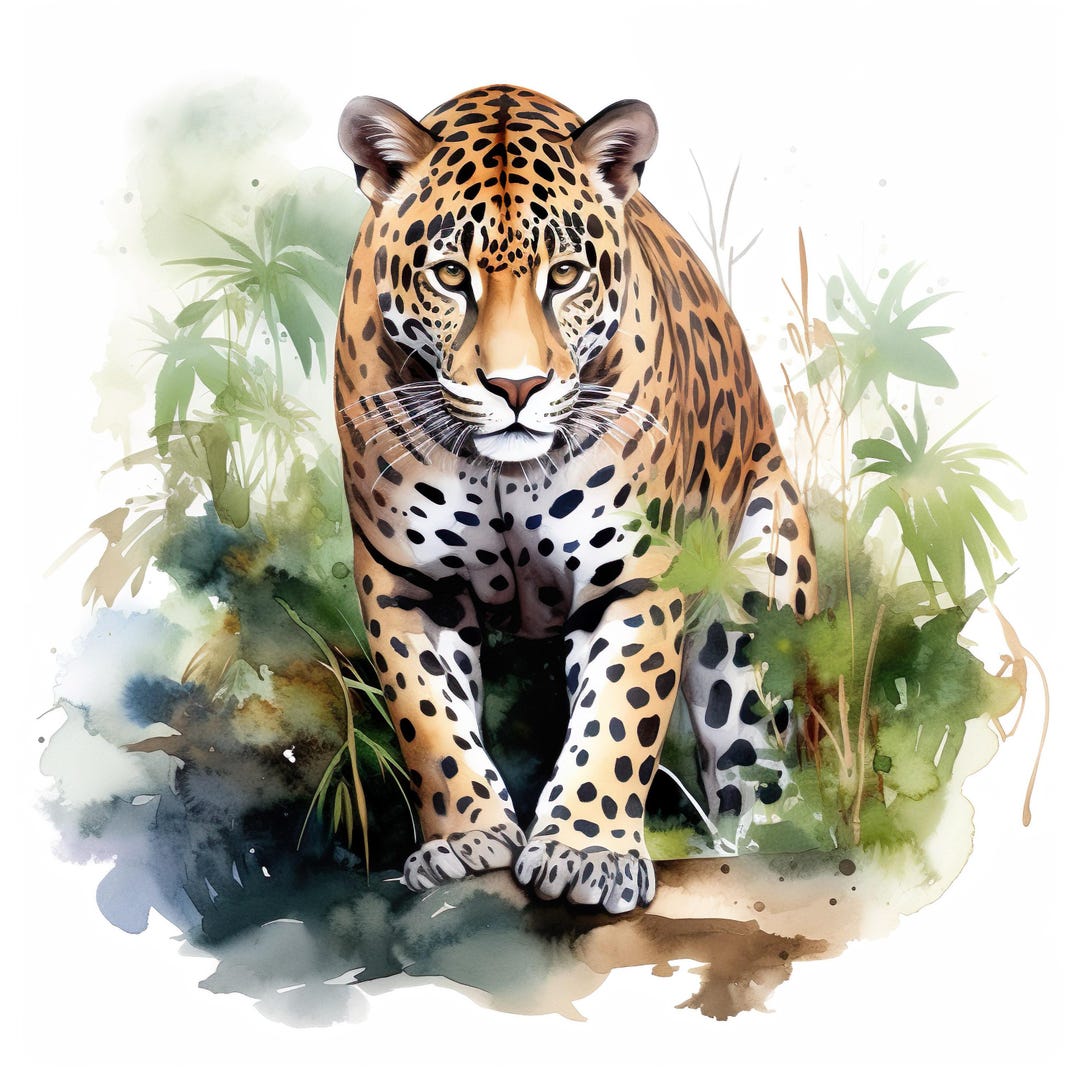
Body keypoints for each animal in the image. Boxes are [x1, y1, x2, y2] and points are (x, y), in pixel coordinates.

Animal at [333, 84, 817, 914]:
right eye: (450, 274)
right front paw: (466, 841)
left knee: (756, 762)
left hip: (753, 623)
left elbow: (619, 720)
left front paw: (587, 852)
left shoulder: (636, 577)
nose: (516, 386)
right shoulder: (408, 586)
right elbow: (429, 724)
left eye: (563, 275)